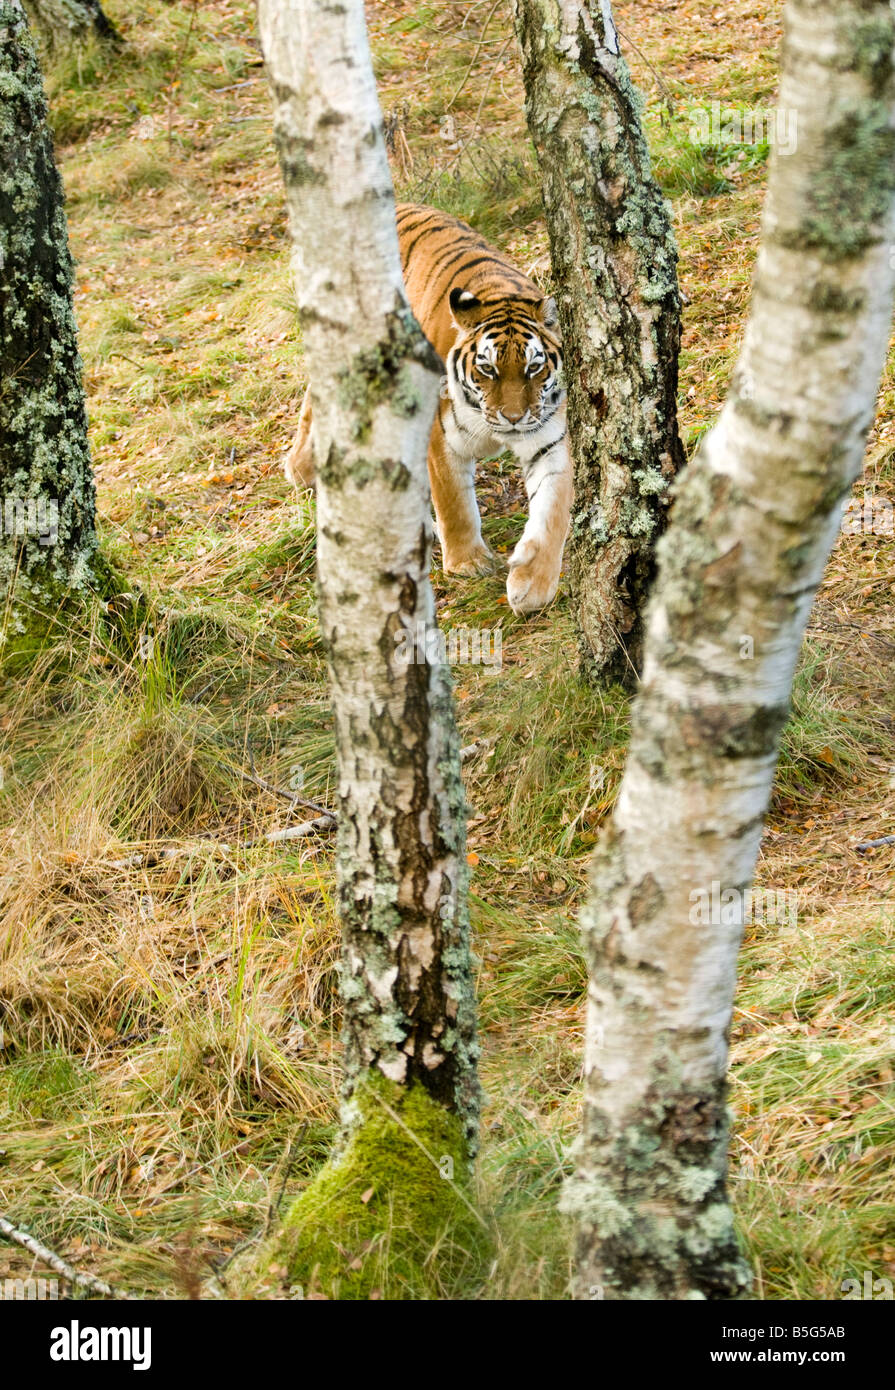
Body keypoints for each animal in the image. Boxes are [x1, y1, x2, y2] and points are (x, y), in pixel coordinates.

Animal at [284, 203, 573, 614]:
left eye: (534, 367)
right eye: (488, 369)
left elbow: (551, 511)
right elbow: (455, 503)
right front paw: (468, 562)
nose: (514, 418)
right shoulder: (441, 438)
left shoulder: (549, 440)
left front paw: (532, 585)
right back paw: (303, 469)